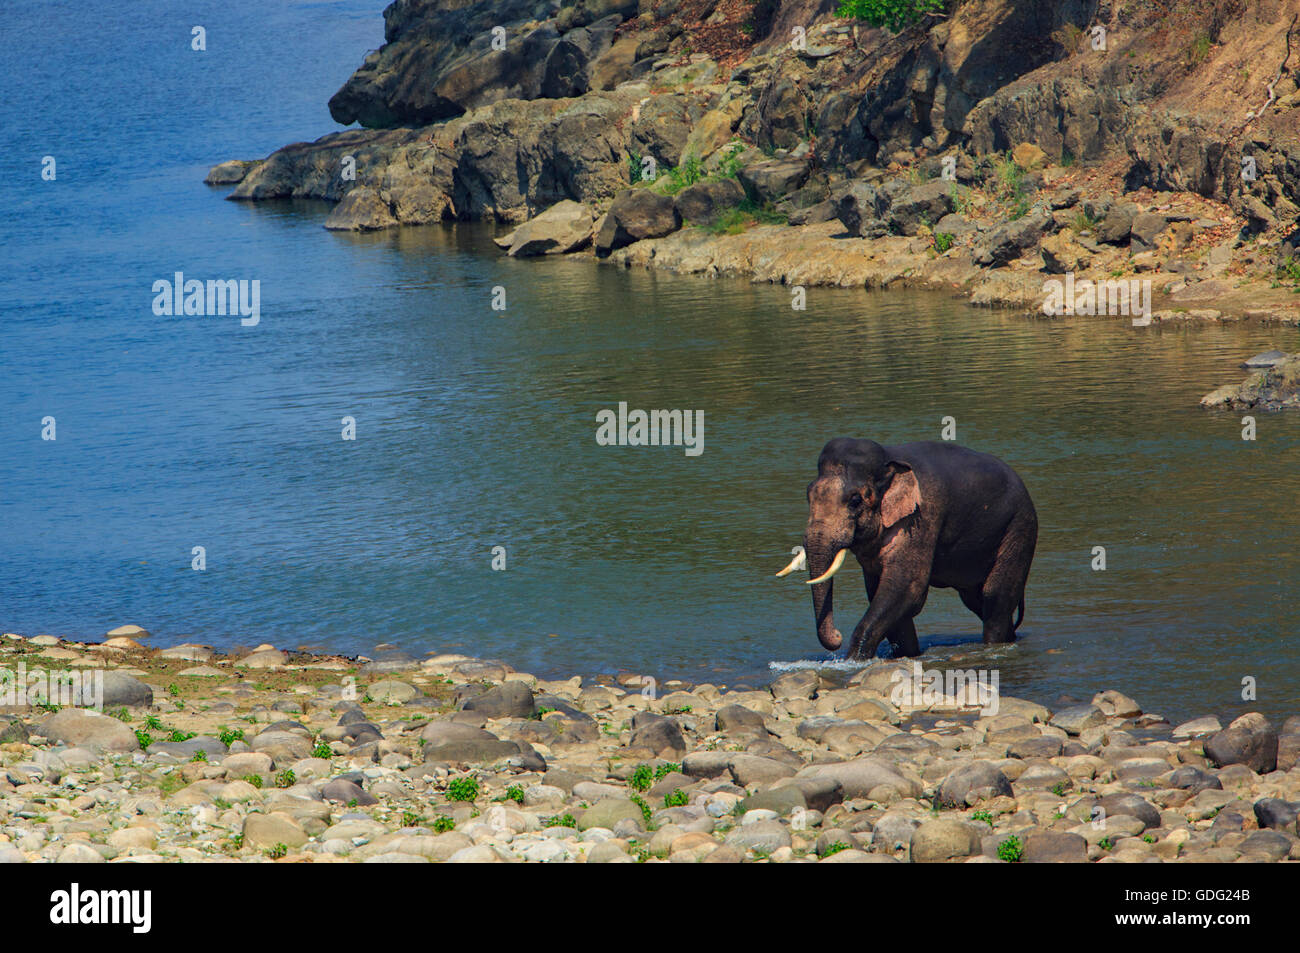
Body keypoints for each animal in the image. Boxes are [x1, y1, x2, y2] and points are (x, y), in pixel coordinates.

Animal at [775, 437, 1038, 660]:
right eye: (808, 495)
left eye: (855, 500)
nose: (838, 636)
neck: (889, 459)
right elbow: (881, 592)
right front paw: (907, 656)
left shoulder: (922, 518)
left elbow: (907, 588)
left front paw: (853, 661)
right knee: (977, 601)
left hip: (1019, 529)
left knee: (995, 598)